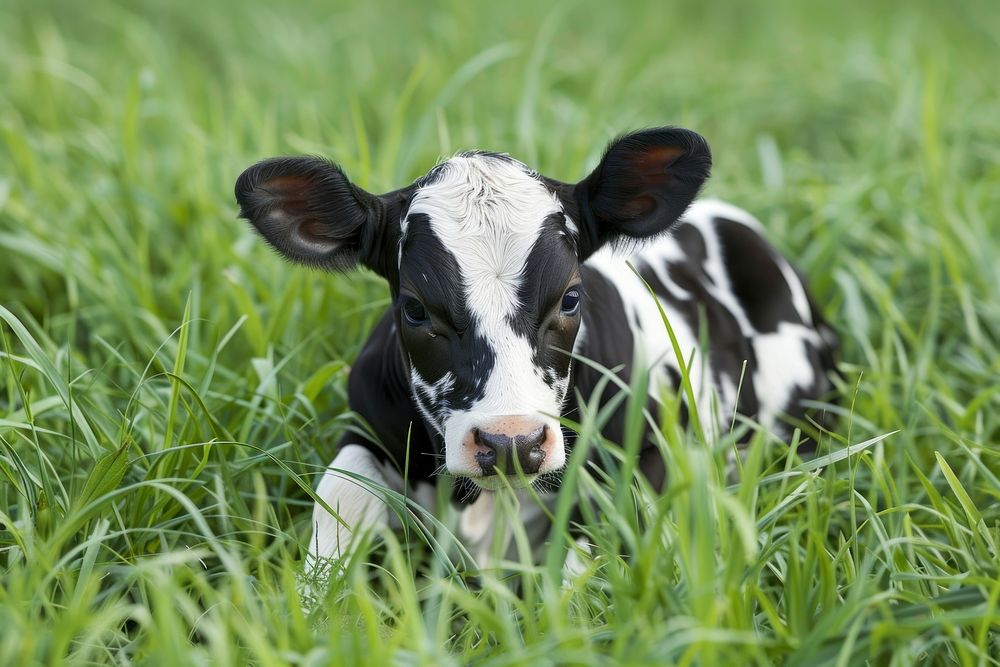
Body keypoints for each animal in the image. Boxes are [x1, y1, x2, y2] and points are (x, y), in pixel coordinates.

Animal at [234, 127, 838, 574]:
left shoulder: (643, 458)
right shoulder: (366, 426)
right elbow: (340, 498)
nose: (510, 442)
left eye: (570, 296)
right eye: (415, 309)